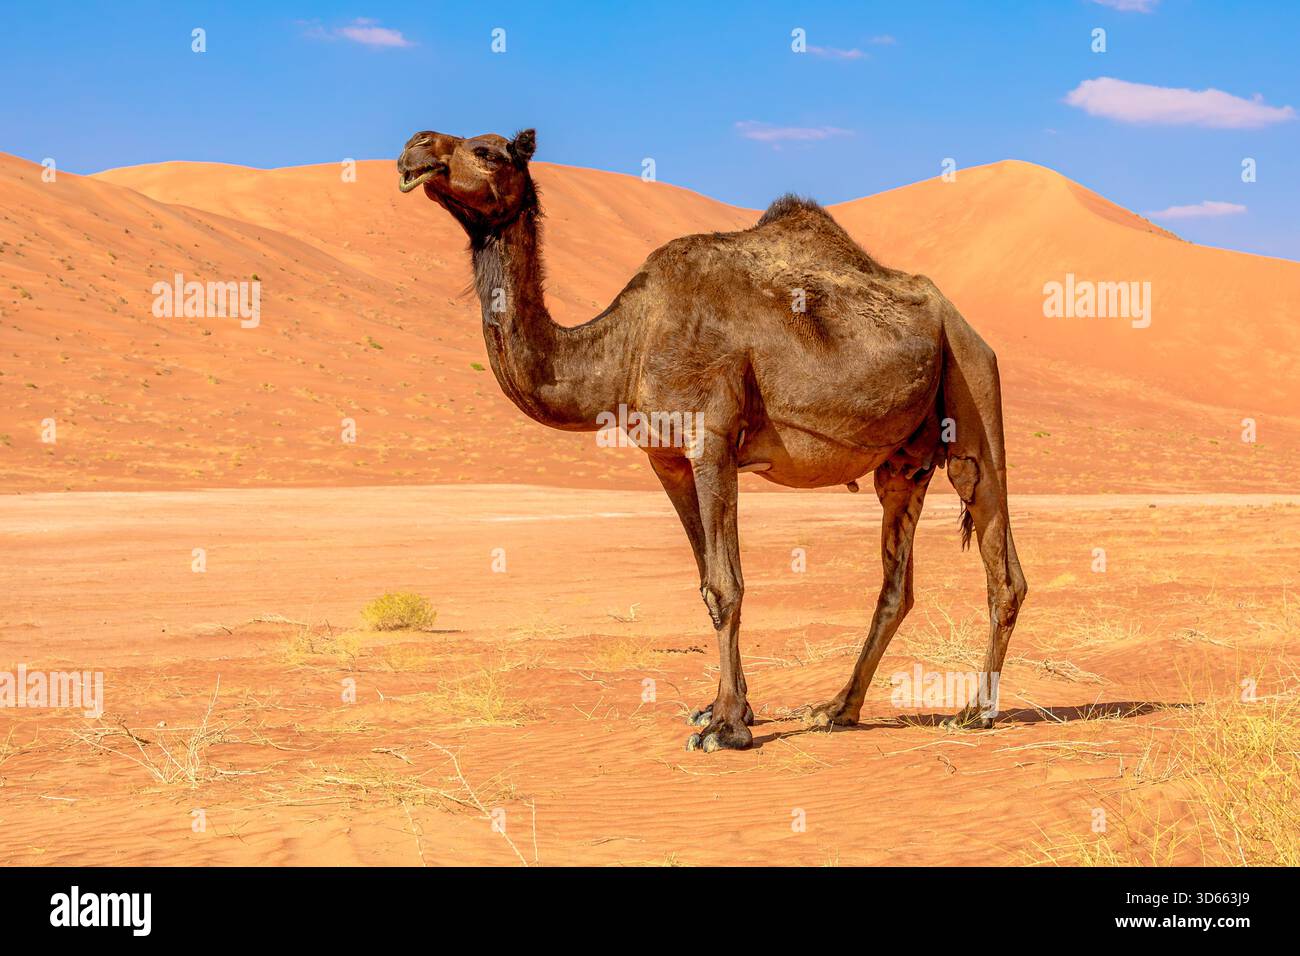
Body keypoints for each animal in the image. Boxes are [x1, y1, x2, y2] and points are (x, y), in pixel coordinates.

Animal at [397, 128, 1027, 753]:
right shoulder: (667, 460)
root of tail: (962, 320)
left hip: (972, 382)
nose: (415, 149)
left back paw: (974, 712)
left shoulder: (712, 441)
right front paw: (729, 707)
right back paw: (837, 709)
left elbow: (727, 586)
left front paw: (726, 727)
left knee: (1000, 557)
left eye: (486, 151)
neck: (626, 345)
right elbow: (706, 583)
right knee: (897, 582)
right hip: (903, 463)